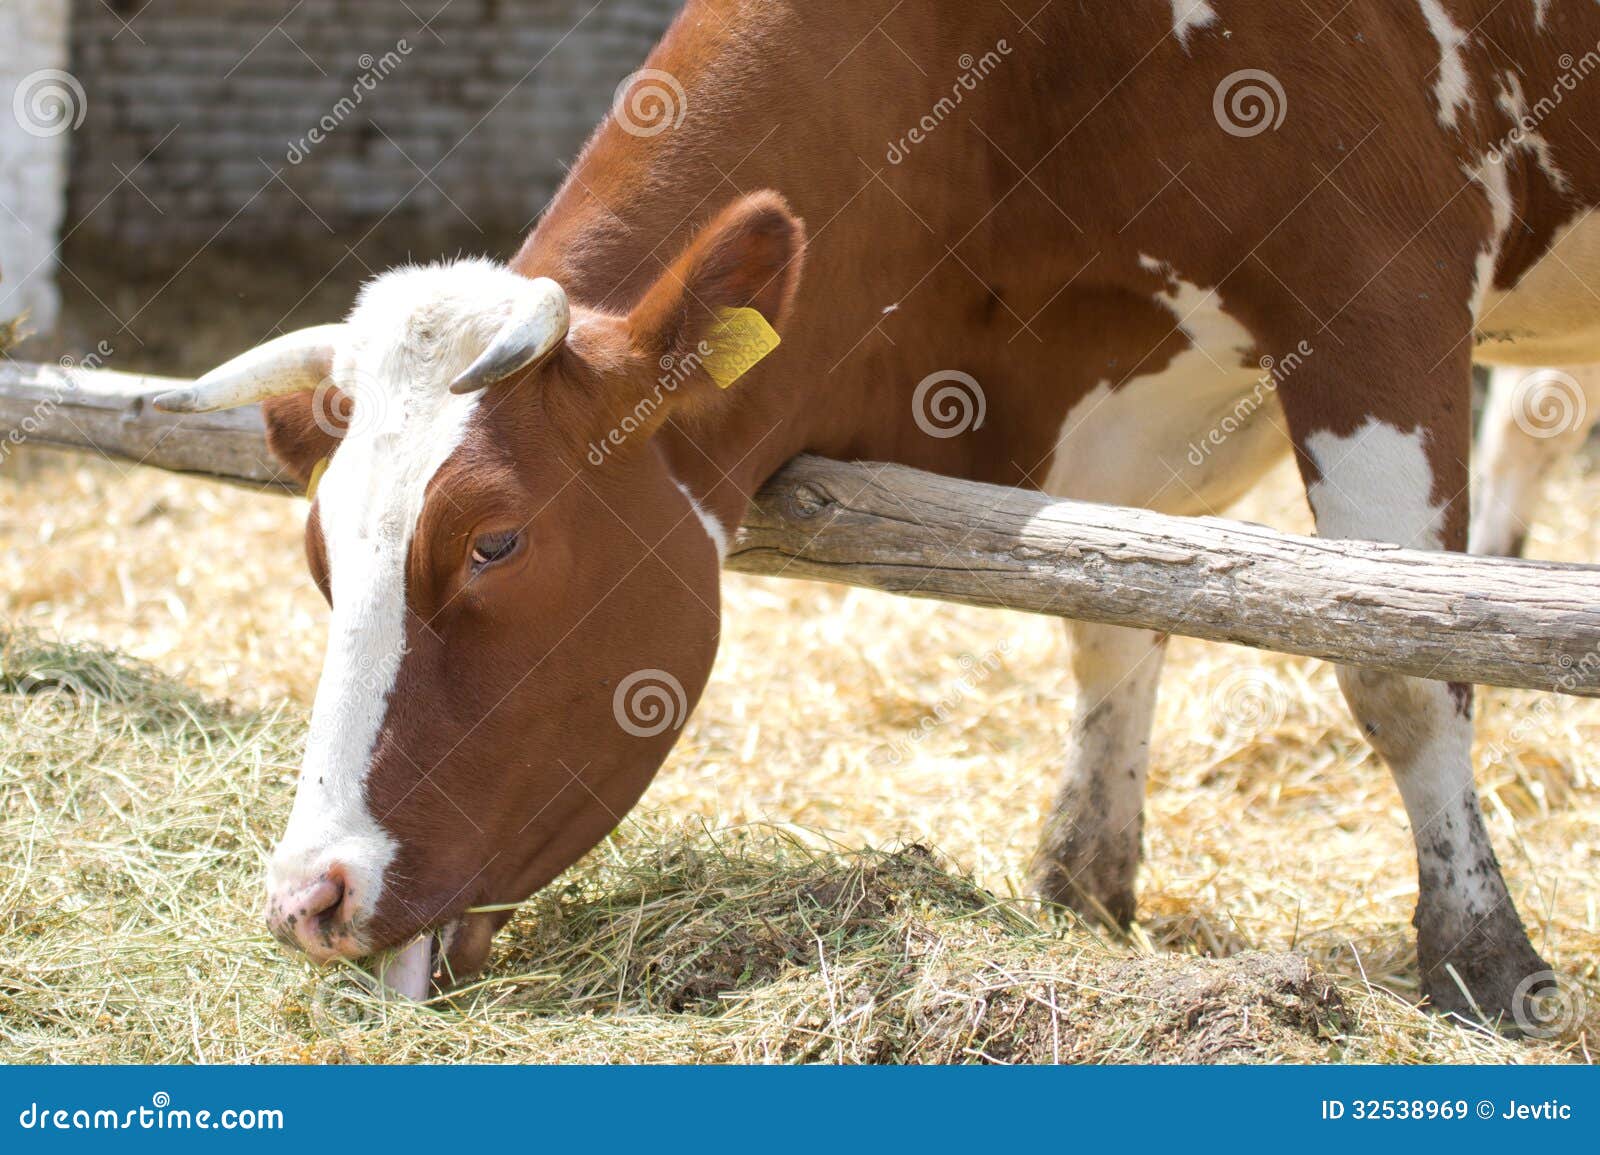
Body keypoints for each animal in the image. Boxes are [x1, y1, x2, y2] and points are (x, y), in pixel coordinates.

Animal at [155, 1, 1600, 1028]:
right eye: (319, 556)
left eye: (495, 539)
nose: (310, 895)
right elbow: (1116, 606)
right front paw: (1082, 883)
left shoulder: (1379, 281)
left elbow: (1396, 660)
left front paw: (1482, 956)